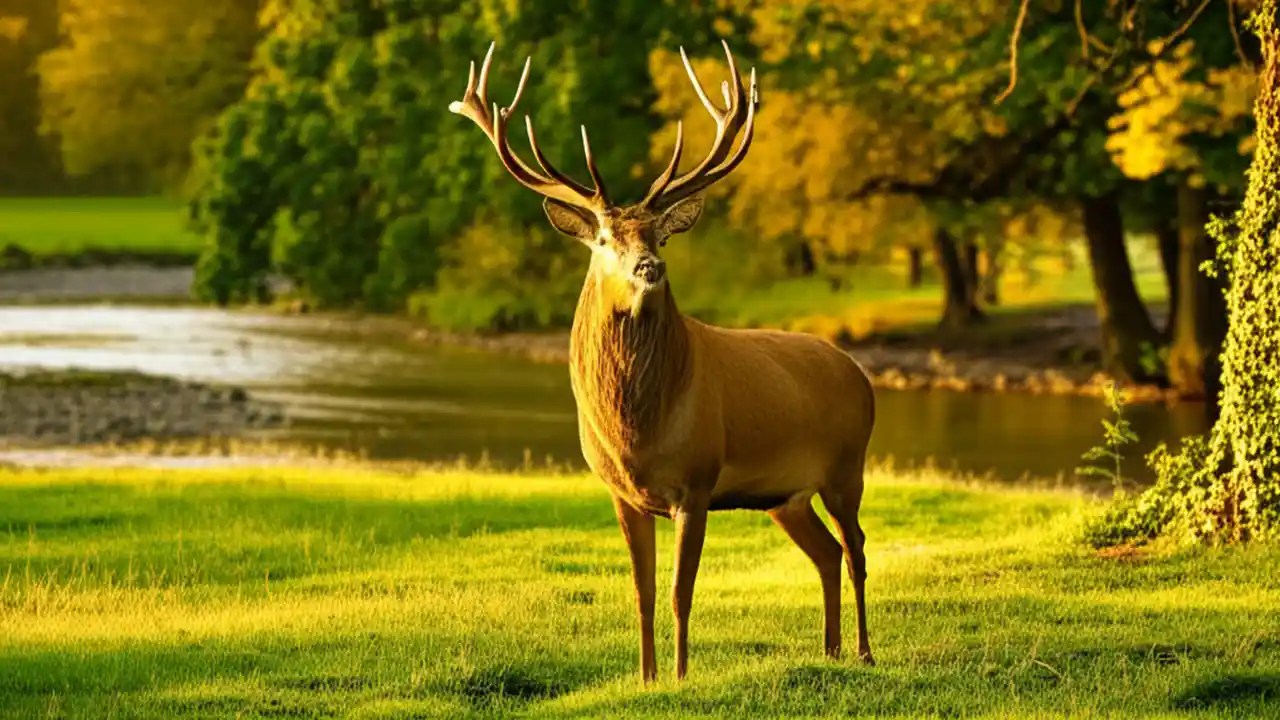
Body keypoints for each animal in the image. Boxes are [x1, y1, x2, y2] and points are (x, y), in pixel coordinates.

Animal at [449, 40, 876, 682]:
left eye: (660, 235)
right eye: (604, 239)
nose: (650, 266)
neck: (640, 431)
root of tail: (860, 372)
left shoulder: (696, 482)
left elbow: (681, 590)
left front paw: (679, 676)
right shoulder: (621, 491)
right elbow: (643, 591)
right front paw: (646, 677)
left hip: (849, 465)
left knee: (856, 551)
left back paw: (867, 652)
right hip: (786, 496)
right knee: (826, 553)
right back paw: (829, 651)